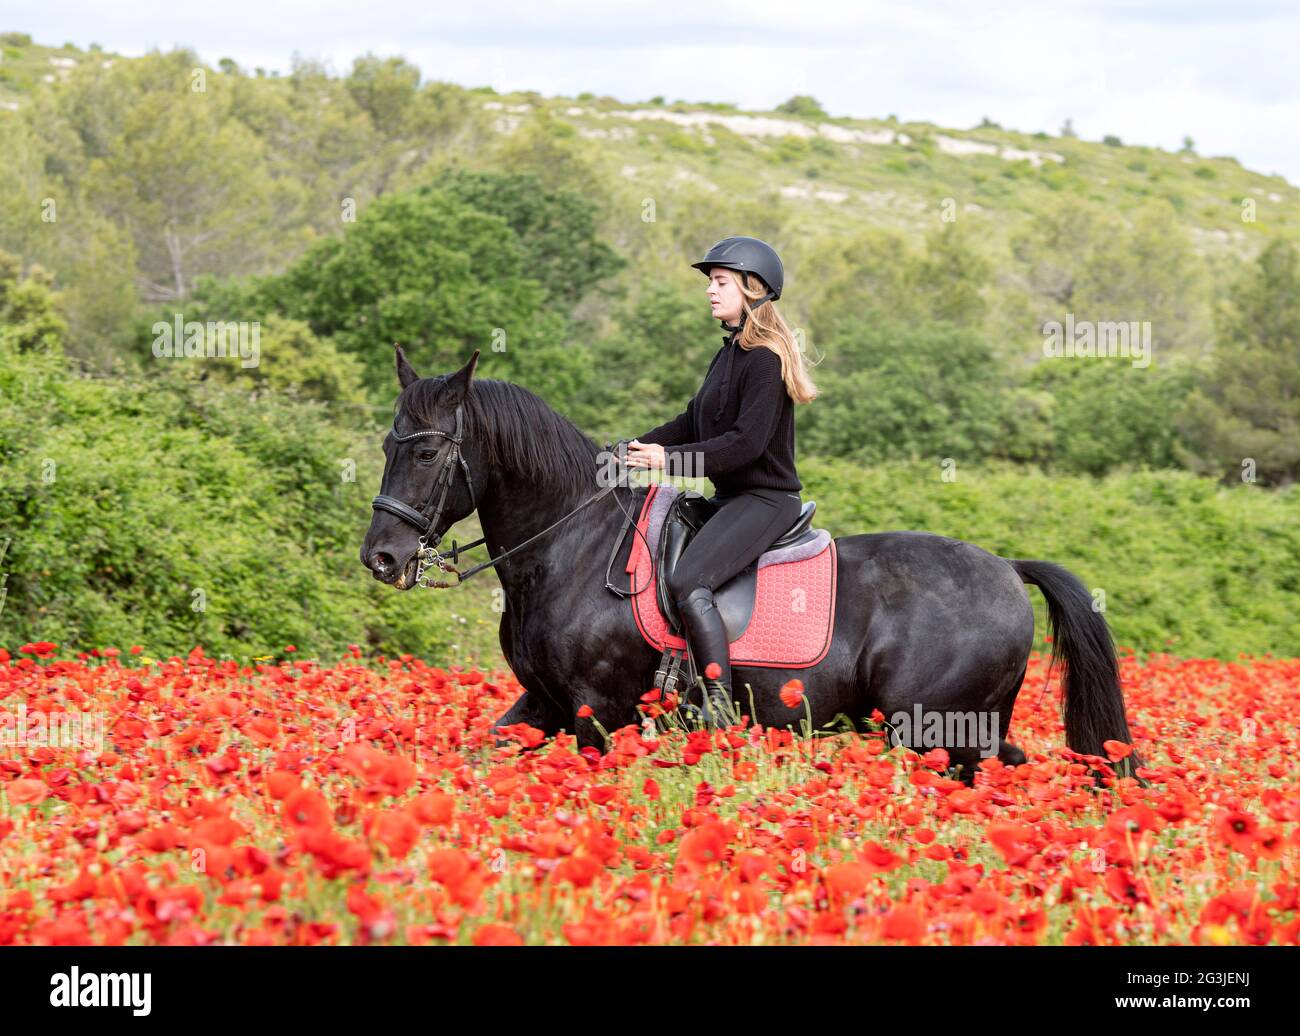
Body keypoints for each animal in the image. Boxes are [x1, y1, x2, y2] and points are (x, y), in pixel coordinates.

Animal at [360, 347, 1144, 784]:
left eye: (425, 451)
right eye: (387, 443)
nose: (382, 557)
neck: (569, 547)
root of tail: (1008, 570)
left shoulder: (596, 713)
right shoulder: (545, 704)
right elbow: (485, 755)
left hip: (931, 730)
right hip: (967, 730)